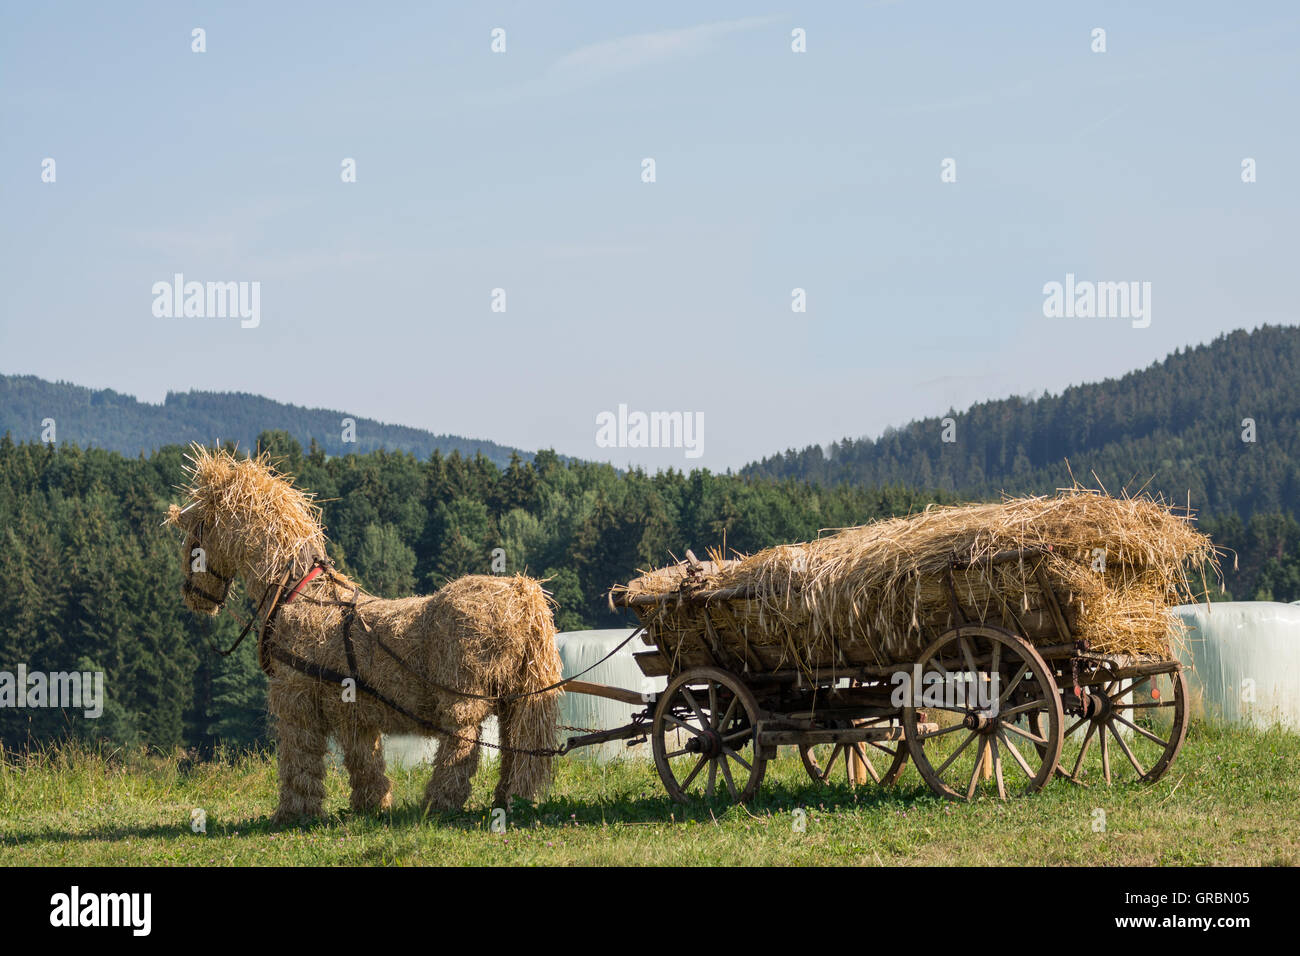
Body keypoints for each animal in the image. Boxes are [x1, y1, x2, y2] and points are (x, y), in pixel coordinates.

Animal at [166, 445, 563, 823]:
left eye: (197, 530)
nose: (192, 595)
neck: (298, 592)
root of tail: (522, 594)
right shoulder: (352, 712)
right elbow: (363, 761)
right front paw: (370, 806)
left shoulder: (295, 701)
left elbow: (300, 759)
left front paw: (295, 811)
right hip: (515, 698)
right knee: (516, 748)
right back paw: (507, 799)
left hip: (463, 698)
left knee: (462, 748)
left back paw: (439, 803)